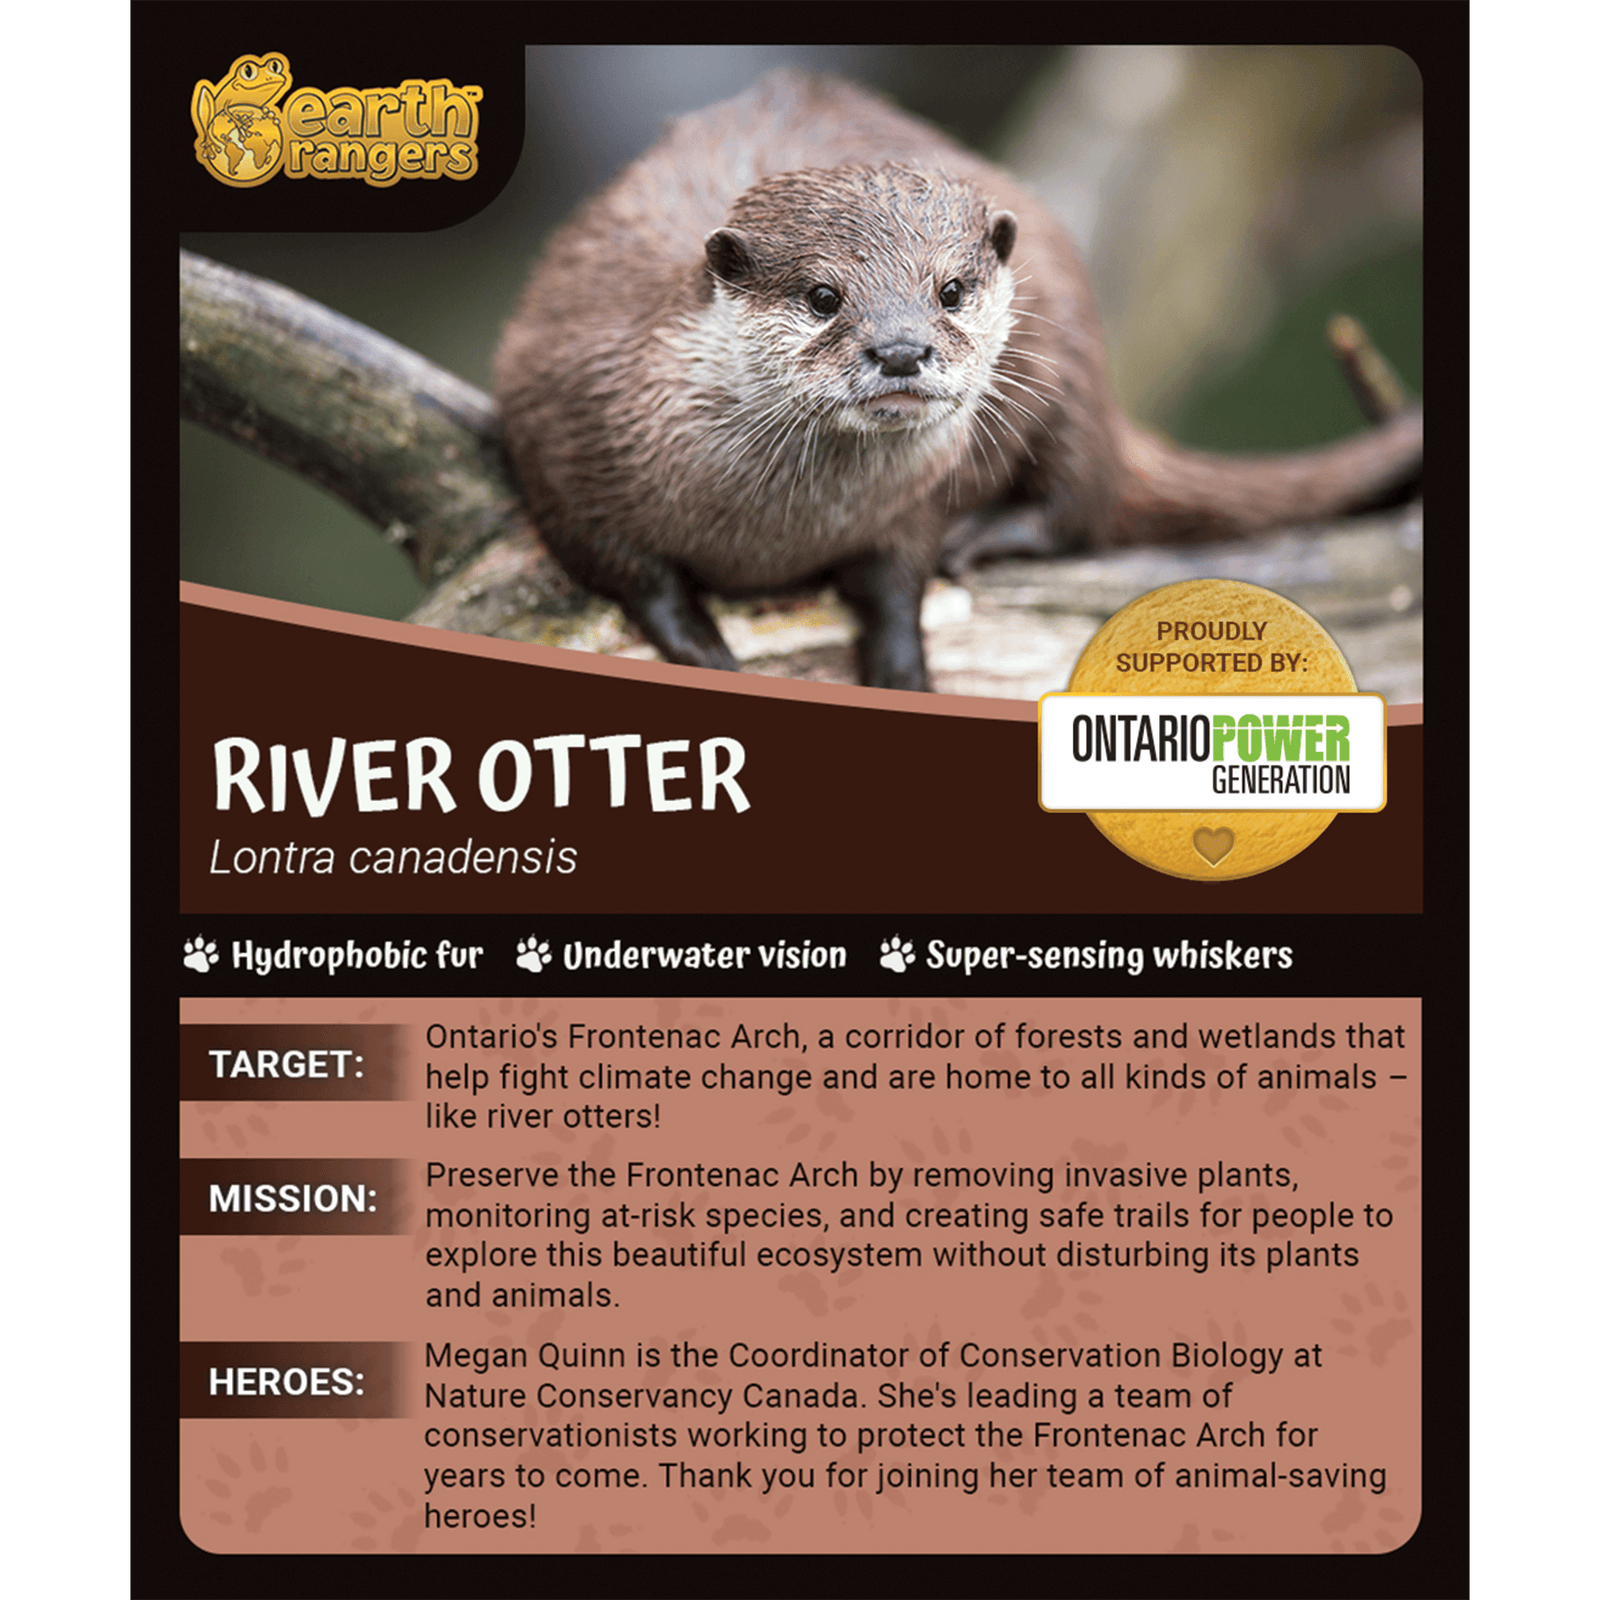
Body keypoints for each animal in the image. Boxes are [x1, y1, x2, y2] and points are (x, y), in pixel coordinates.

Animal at [495, 71, 1421, 692]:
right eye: (823, 295)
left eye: (950, 289)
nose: (903, 350)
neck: (775, 526)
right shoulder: (562, 417)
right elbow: (627, 569)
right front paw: (702, 646)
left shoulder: (913, 506)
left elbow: (900, 579)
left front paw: (903, 667)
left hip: (1070, 360)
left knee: (1082, 495)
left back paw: (989, 535)